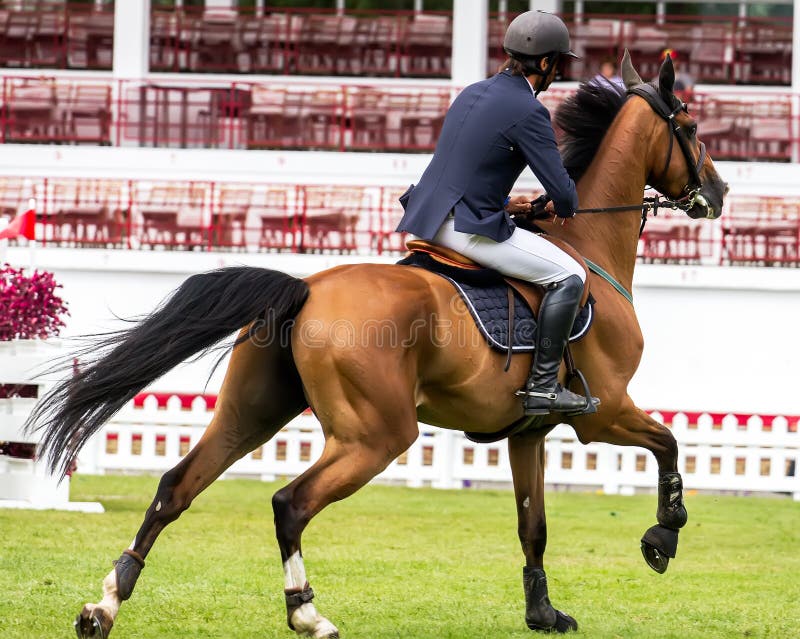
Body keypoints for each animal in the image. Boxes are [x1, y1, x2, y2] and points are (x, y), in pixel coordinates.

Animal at [29, 52, 727, 638]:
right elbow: (669, 443)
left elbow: (534, 526)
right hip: (376, 435)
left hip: (252, 413)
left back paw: (103, 606)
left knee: (176, 487)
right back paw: (308, 615)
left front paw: (543, 613)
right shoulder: (604, 411)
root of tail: (306, 289)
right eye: (691, 127)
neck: (590, 251)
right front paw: (662, 538)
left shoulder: (529, 432)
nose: (718, 196)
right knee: (289, 503)